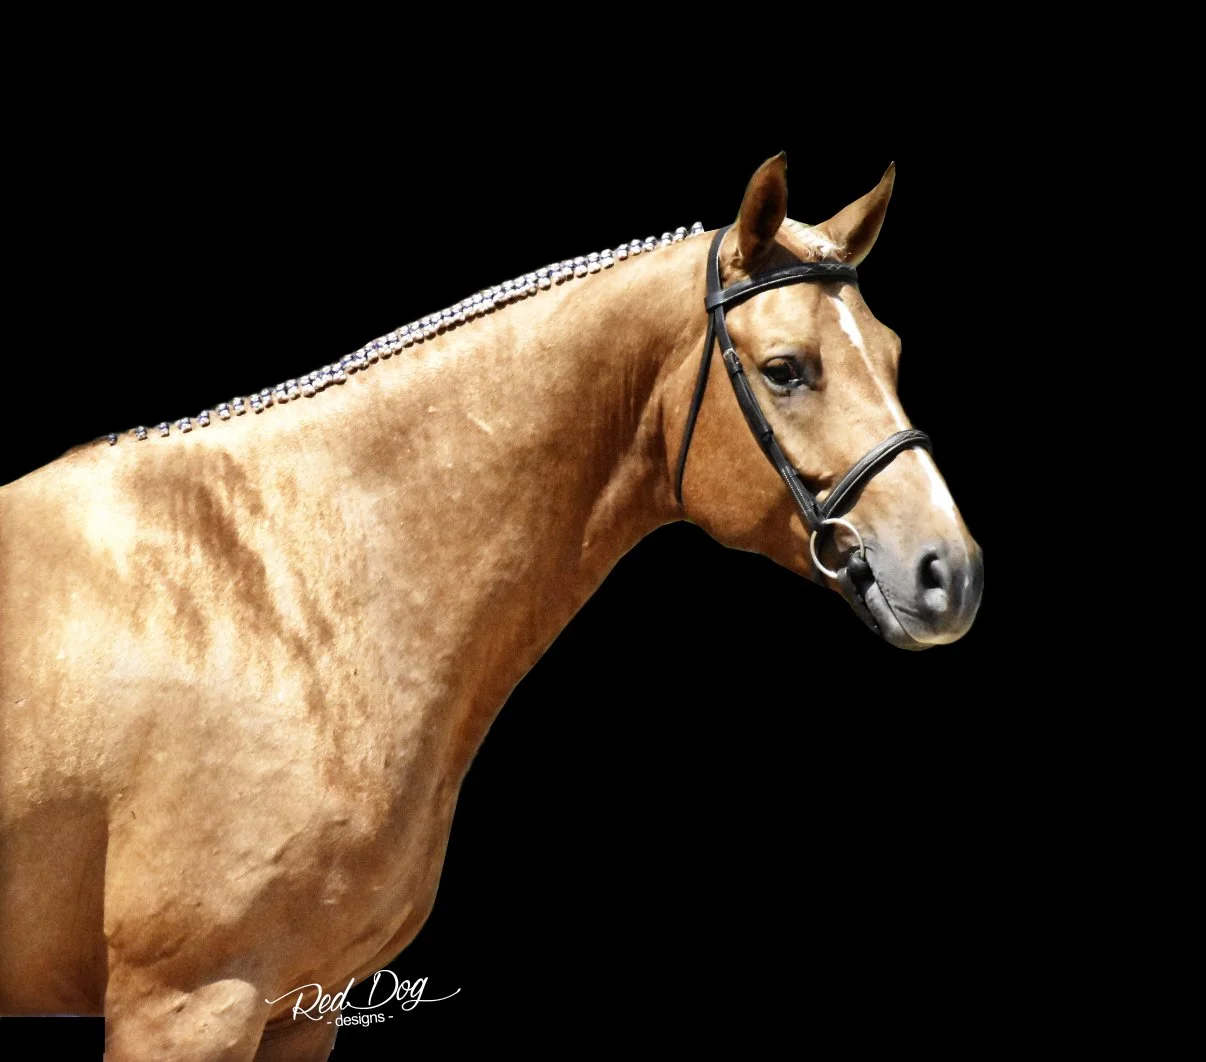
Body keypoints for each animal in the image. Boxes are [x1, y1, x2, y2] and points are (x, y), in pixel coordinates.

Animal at [0, 153, 983, 1060]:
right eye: (785, 370)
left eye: (892, 354)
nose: (951, 573)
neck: (276, 595)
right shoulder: (188, 1007)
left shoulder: (297, 1012)